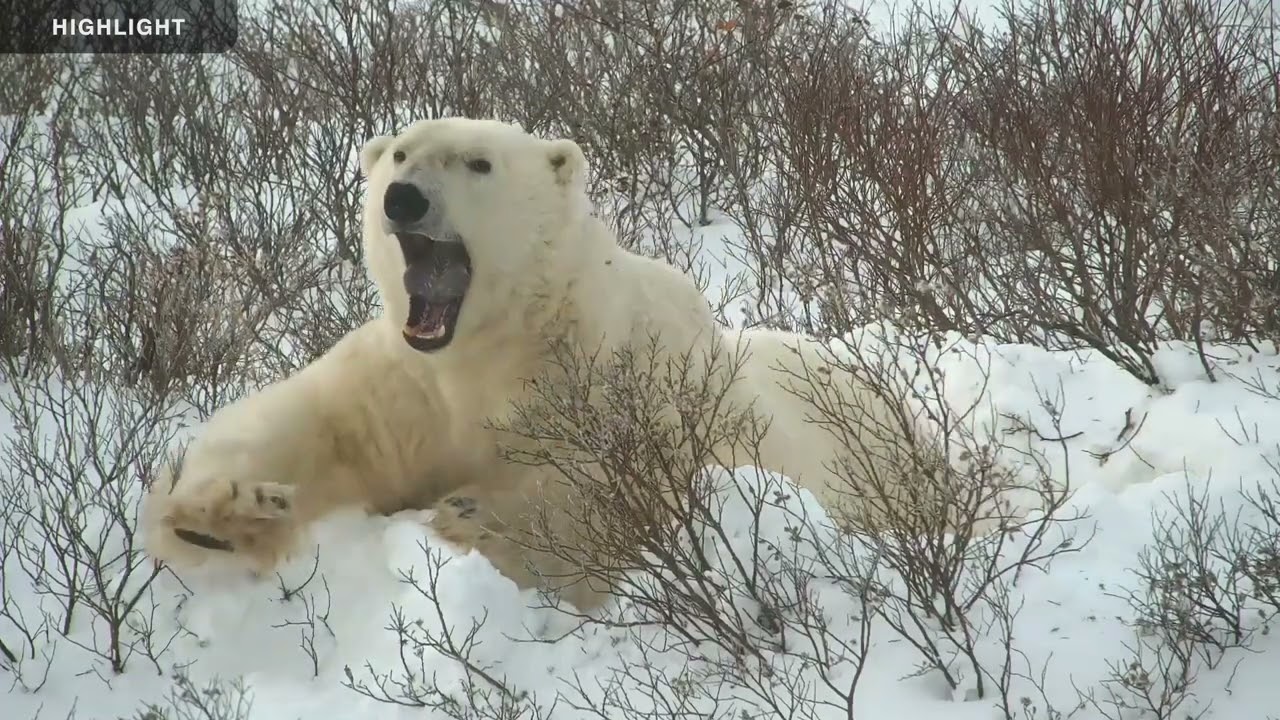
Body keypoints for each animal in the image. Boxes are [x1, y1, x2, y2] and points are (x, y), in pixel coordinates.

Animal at [140, 117, 925, 611]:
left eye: (478, 162)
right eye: (400, 154)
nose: (403, 198)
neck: (488, 347)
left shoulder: (604, 378)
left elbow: (624, 489)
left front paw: (471, 516)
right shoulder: (405, 385)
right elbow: (310, 424)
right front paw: (220, 511)